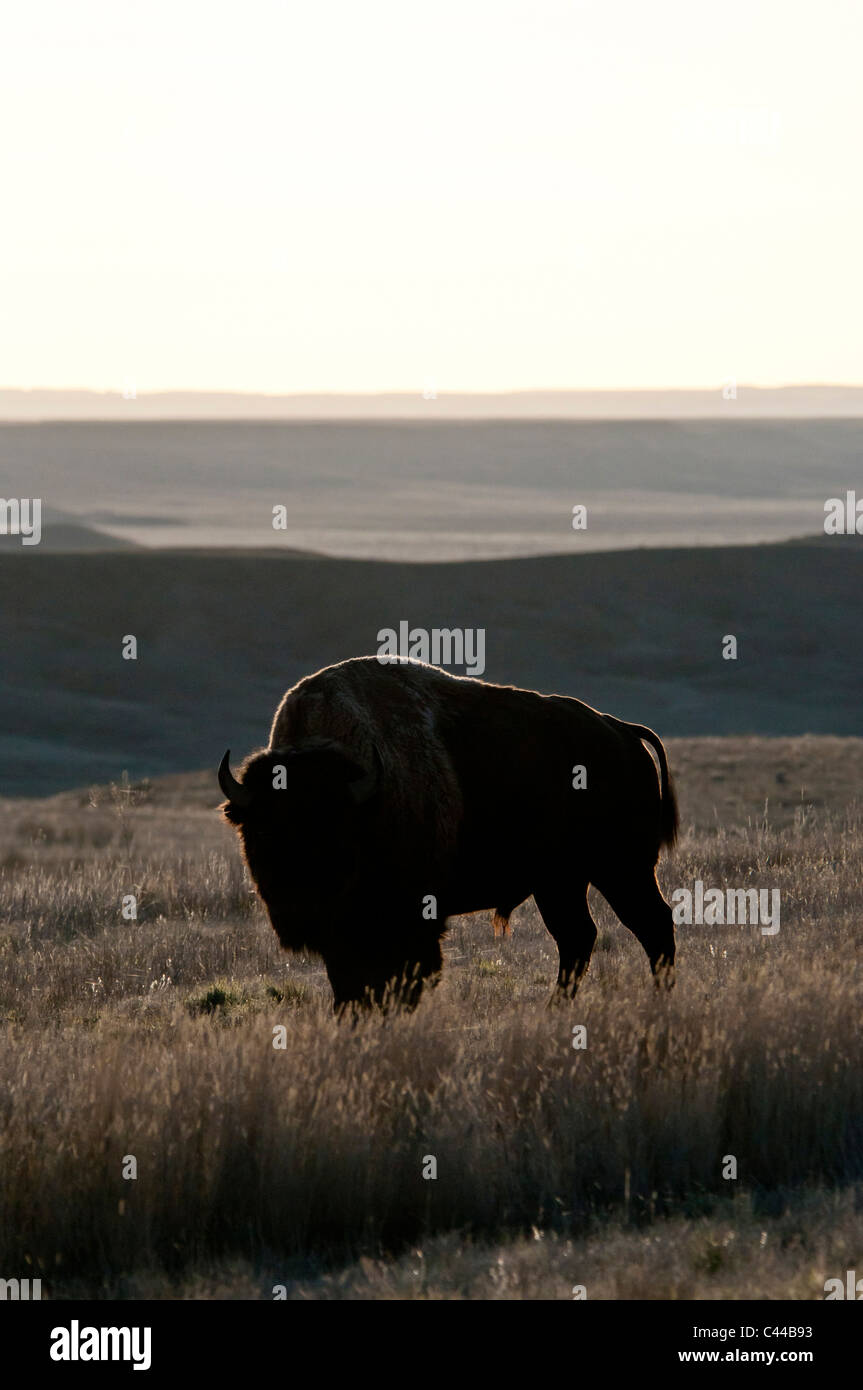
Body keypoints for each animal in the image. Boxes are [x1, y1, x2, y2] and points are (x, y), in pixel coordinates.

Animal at [219, 656, 679, 1012]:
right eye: (264, 829)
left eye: (334, 829)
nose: (300, 906)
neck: (367, 800)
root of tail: (622, 731)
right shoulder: (346, 936)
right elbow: (349, 985)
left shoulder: (408, 924)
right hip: (561, 883)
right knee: (579, 938)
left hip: (622, 869)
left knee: (652, 925)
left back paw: (659, 1000)